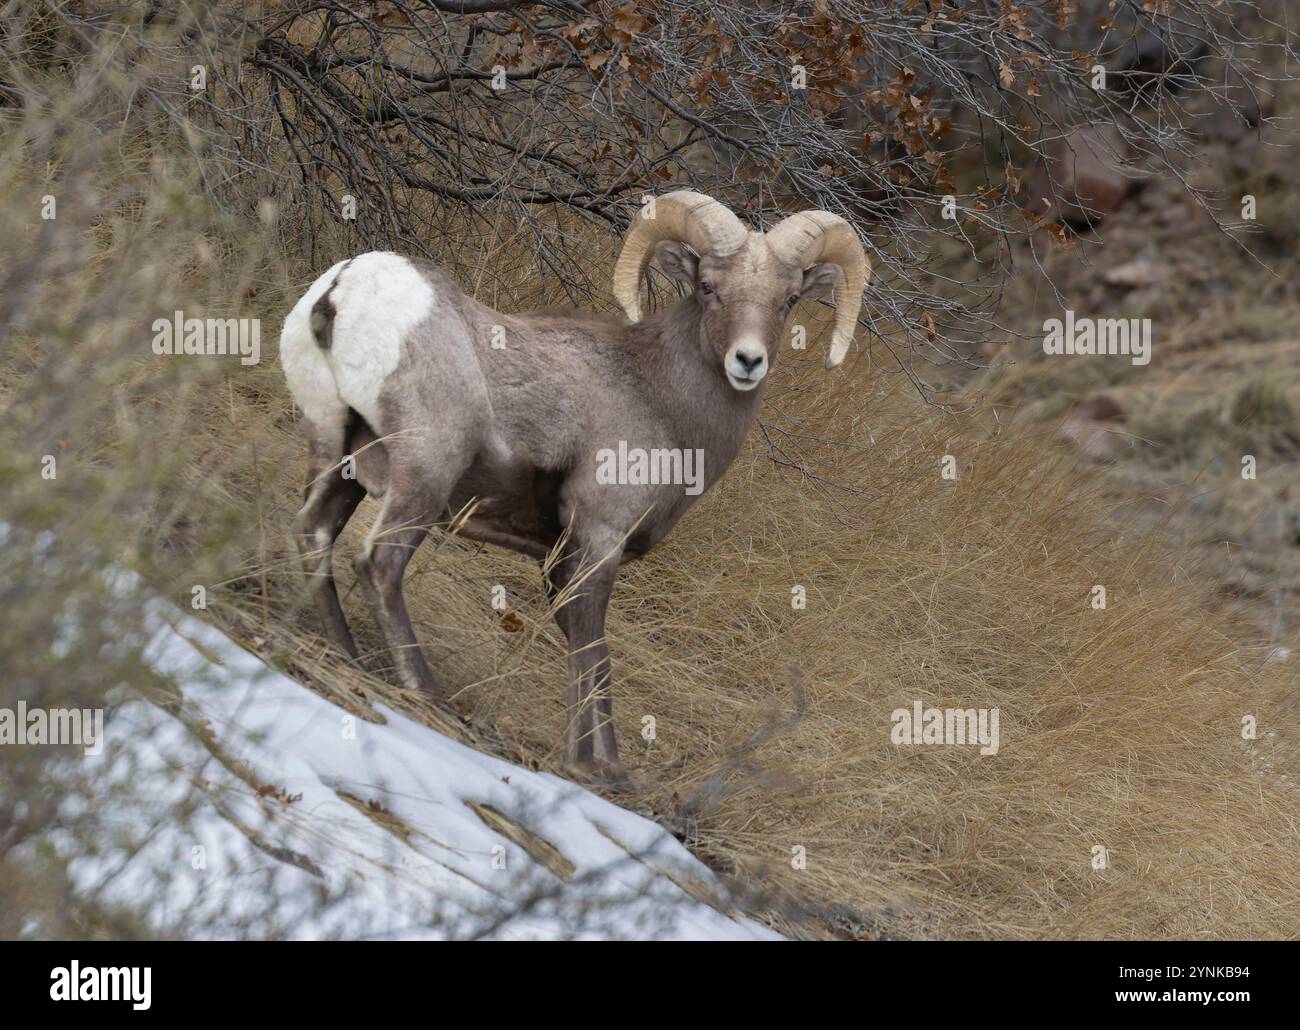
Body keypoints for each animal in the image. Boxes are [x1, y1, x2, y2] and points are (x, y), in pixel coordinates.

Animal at [279, 191, 869, 777]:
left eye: (788, 299)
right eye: (708, 287)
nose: (748, 361)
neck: (661, 401)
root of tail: (346, 287)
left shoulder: (559, 561)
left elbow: (580, 650)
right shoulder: (597, 540)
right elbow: (594, 650)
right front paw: (600, 768)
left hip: (338, 453)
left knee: (314, 530)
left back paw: (346, 653)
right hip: (427, 470)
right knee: (379, 564)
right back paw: (427, 693)